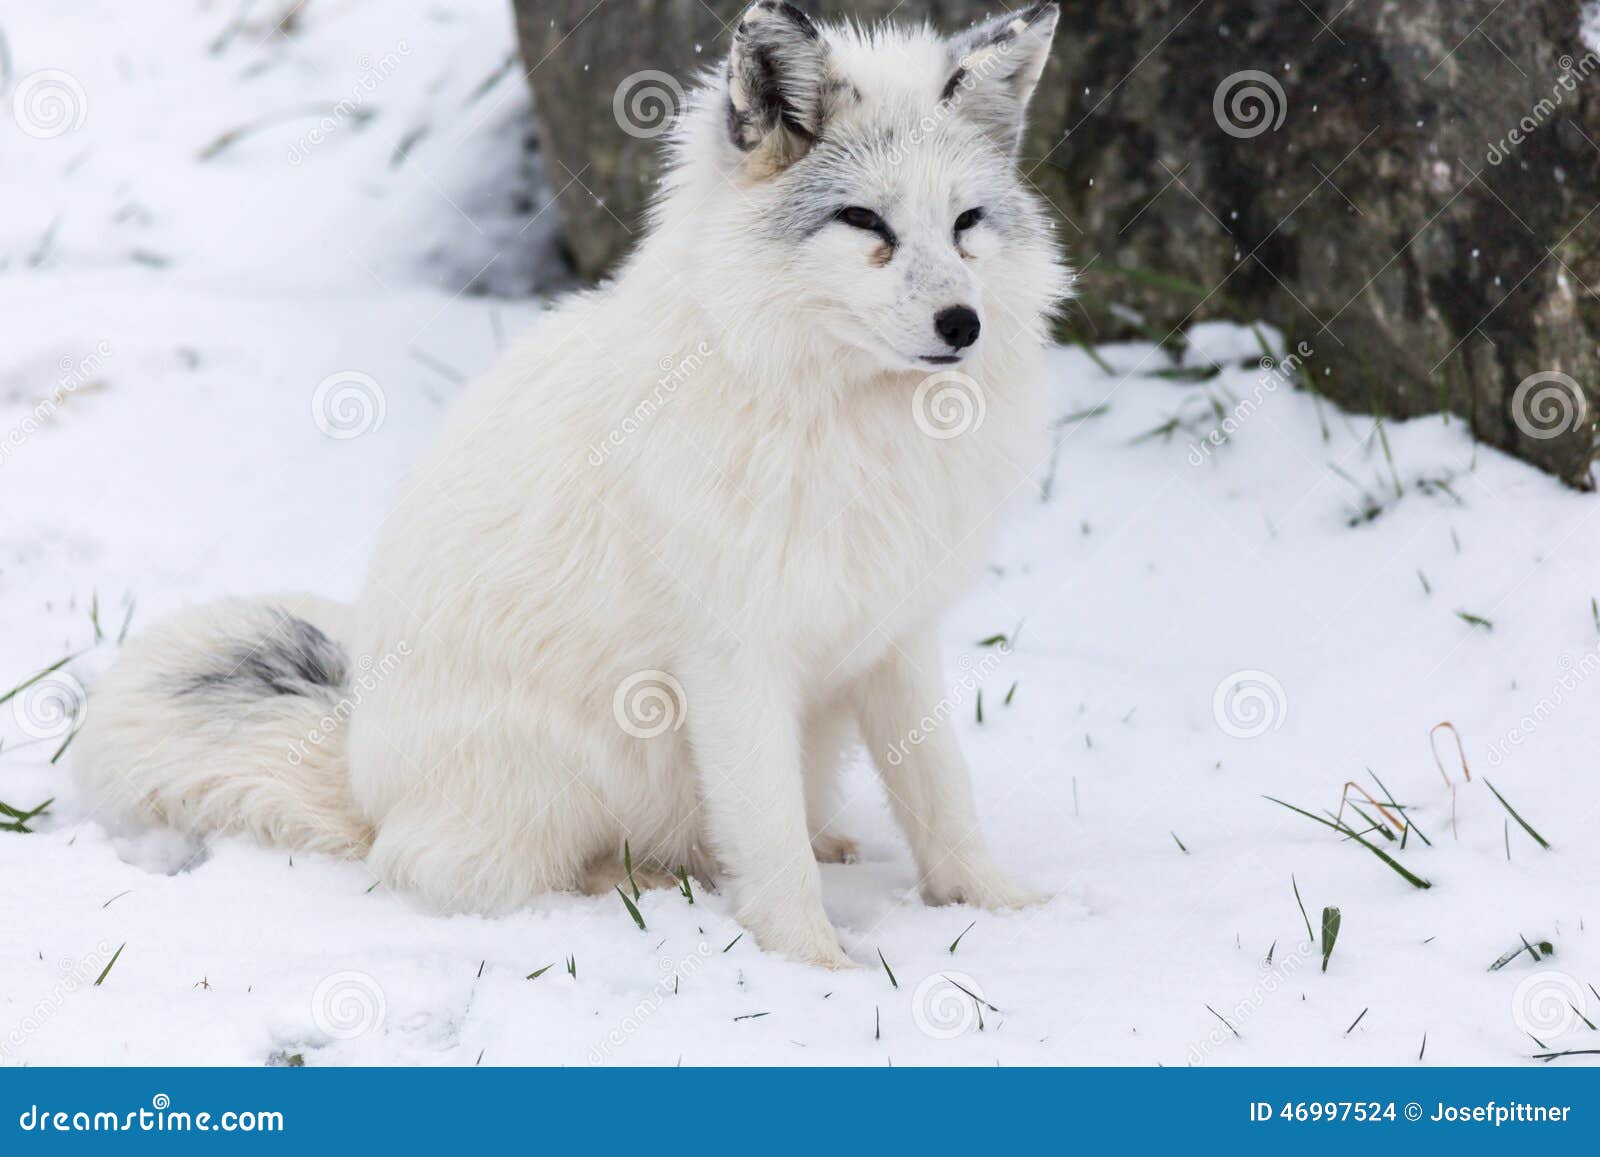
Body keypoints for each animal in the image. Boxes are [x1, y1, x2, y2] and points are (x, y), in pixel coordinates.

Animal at [76, 1, 1071, 967]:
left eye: (968, 221)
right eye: (864, 221)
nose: (963, 323)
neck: (847, 418)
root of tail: (360, 775)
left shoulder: (894, 634)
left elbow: (942, 792)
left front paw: (1000, 908)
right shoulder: (732, 657)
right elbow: (768, 835)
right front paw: (810, 961)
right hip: (556, 779)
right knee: (455, 868)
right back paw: (644, 884)